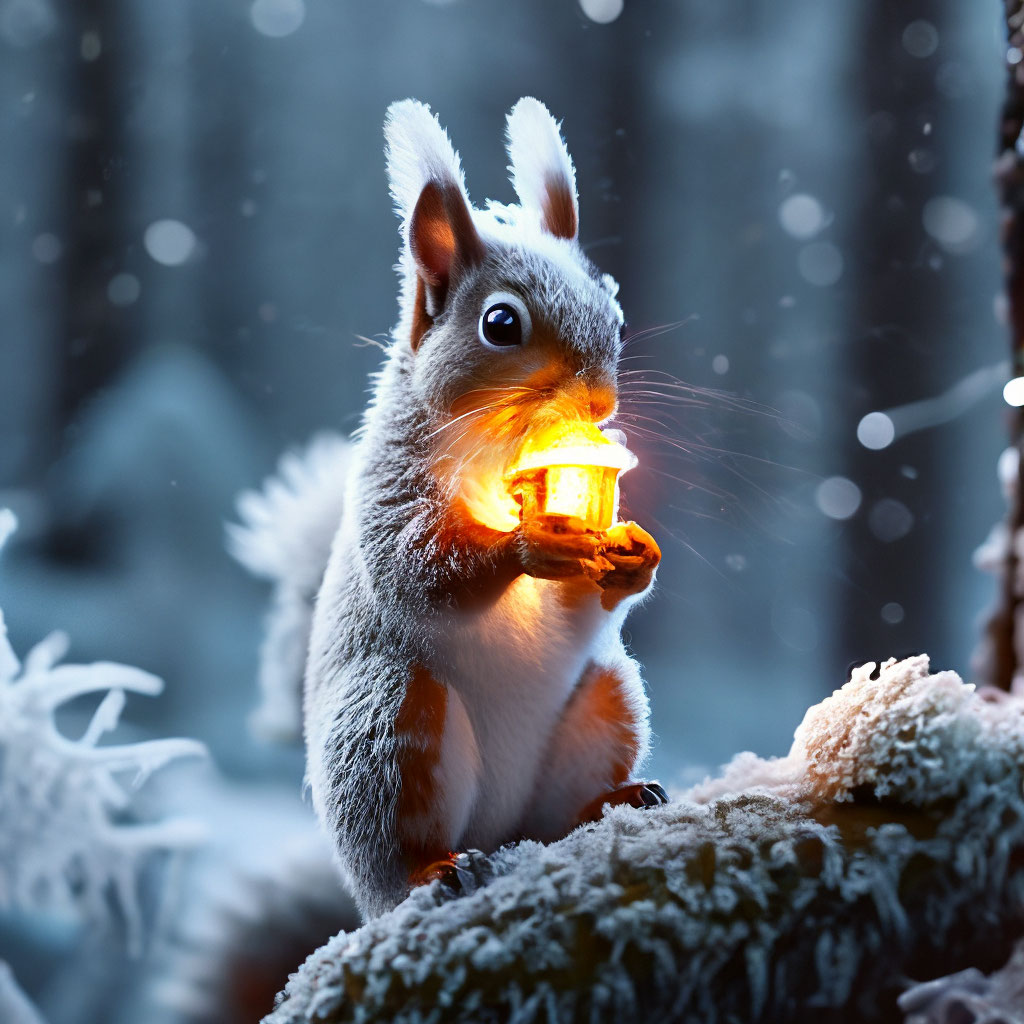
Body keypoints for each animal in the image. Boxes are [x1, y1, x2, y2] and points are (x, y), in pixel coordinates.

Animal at [297, 97, 666, 920]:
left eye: (618, 316)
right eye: (501, 325)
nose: (600, 404)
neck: (501, 456)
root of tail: (496, 830)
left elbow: (583, 609)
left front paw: (634, 556)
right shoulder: (391, 482)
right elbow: (415, 569)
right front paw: (530, 545)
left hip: (609, 698)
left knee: (555, 815)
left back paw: (610, 803)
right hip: (389, 725)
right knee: (397, 842)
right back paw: (431, 871)